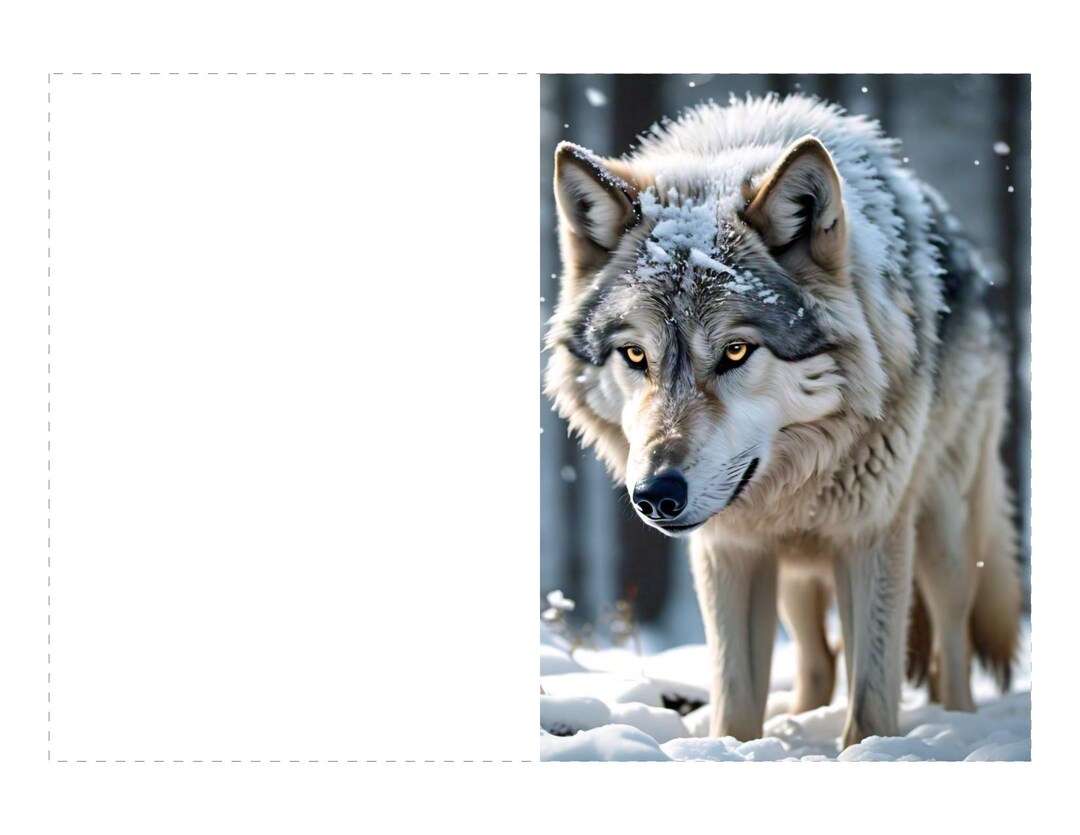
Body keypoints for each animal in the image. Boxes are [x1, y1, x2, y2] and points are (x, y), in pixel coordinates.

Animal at [545, 94, 1024, 747]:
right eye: (636, 355)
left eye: (736, 351)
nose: (657, 495)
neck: (790, 487)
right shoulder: (729, 550)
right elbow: (735, 700)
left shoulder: (870, 535)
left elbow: (872, 700)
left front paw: (868, 752)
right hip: (796, 575)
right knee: (819, 661)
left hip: (943, 532)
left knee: (951, 645)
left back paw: (957, 720)